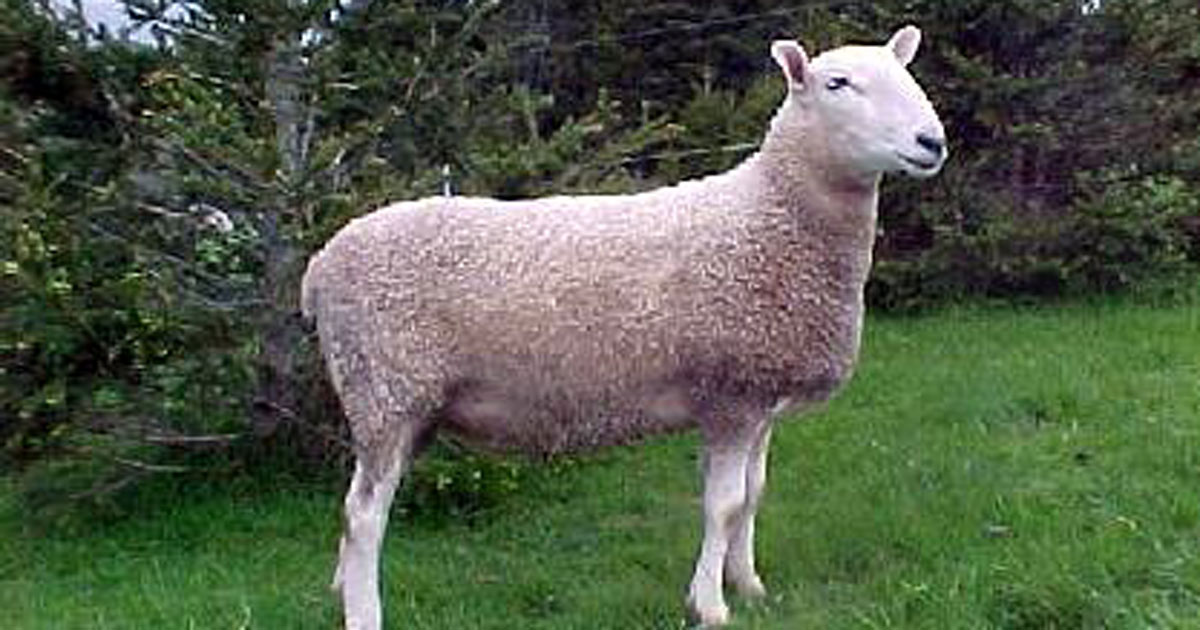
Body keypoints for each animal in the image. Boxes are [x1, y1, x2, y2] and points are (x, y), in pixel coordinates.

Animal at [302, 25, 947, 630]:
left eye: (905, 72)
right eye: (837, 83)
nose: (933, 142)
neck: (773, 214)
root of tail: (320, 267)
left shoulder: (761, 396)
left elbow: (752, 496)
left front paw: (749, 585)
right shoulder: (731, 395)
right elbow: (723, 505)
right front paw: (710, 605)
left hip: (398, 402)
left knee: (358, 509)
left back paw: (339, 589)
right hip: (387, 389)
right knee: (363, 515)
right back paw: (364, 613)